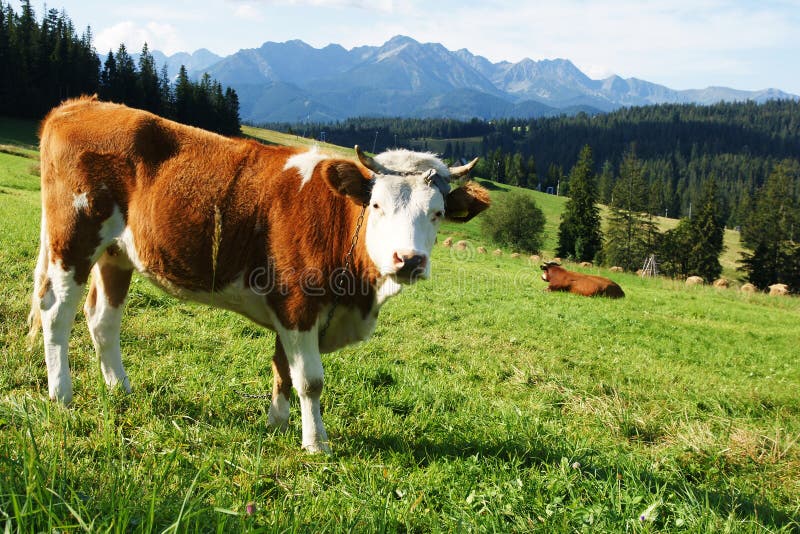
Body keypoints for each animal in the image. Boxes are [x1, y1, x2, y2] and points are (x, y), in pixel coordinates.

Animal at [27, 96, 490, 453]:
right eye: (376, 205)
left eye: (438, 213)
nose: (408, 259)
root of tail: (80, 105)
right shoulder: (298, 301)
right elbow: (310, 380)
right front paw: (316, 444)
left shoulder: (290, 307)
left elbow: (282, 368)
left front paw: (277, 424)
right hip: (73, 238)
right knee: (56, 312)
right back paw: (61, 394)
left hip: (117, 253)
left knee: (102, 319)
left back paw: (119, 388)